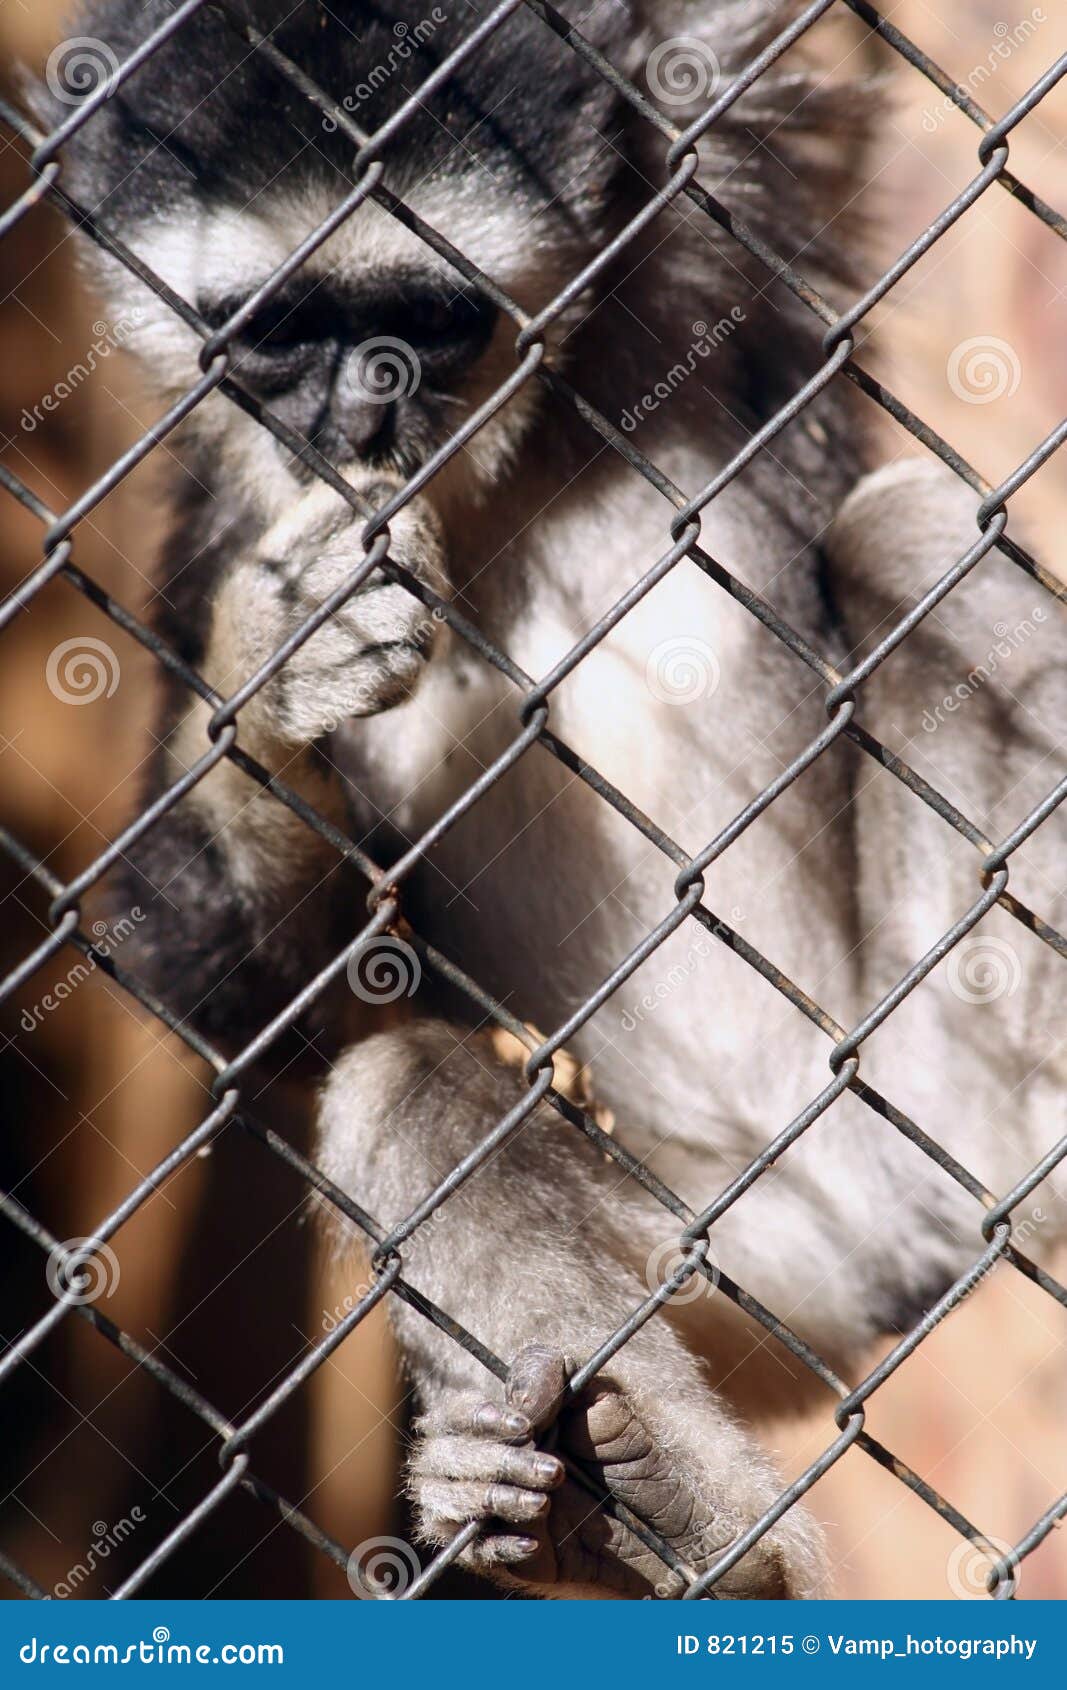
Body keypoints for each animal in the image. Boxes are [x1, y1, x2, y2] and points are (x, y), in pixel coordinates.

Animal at [35, 0, 1067, 1597]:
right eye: (283, 332)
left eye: (427, 319)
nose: (367, 399)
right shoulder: (228, 476)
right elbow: (236, 989)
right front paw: (273, 675)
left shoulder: (707, 167)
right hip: (728, 1266)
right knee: (413, 1083)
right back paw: (647, 1523)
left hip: (914, 1126)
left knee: (913, 527)